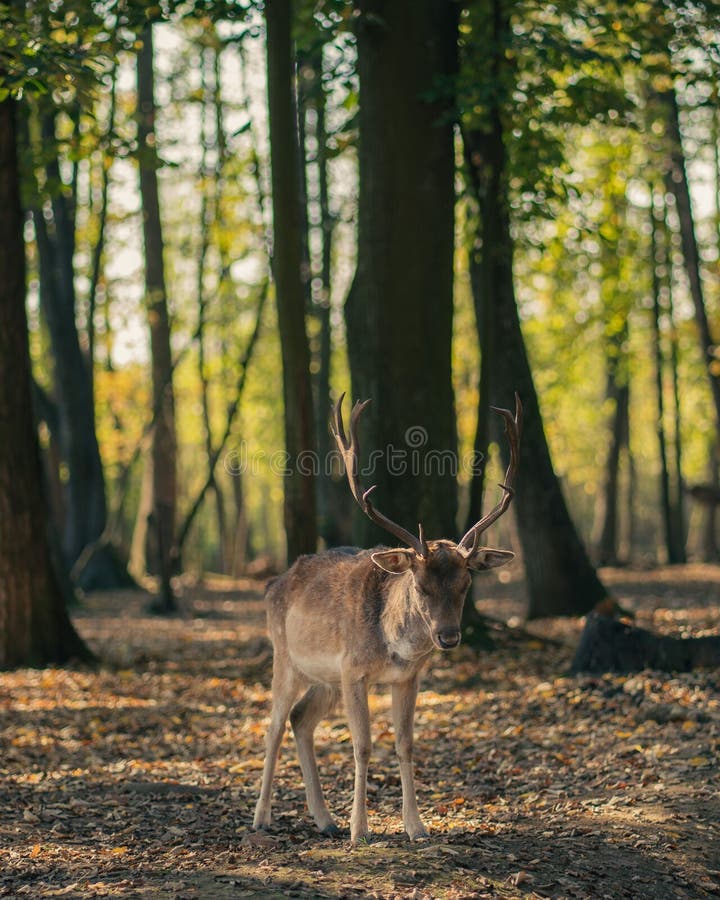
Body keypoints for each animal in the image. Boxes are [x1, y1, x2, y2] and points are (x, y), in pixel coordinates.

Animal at [252, 393, 521, 843]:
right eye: (420, 584)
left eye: (467, 581)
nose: (449, 636)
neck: (393, 648)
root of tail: (273, 582)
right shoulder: (353, 670)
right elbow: (362, 746)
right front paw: (360, 830)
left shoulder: (407, 678)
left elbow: (405, 744)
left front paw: (416, 827)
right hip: (286, 659)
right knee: (272, 726)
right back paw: (262, 817)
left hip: (324, 679)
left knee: (300, 720)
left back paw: (325, 819)